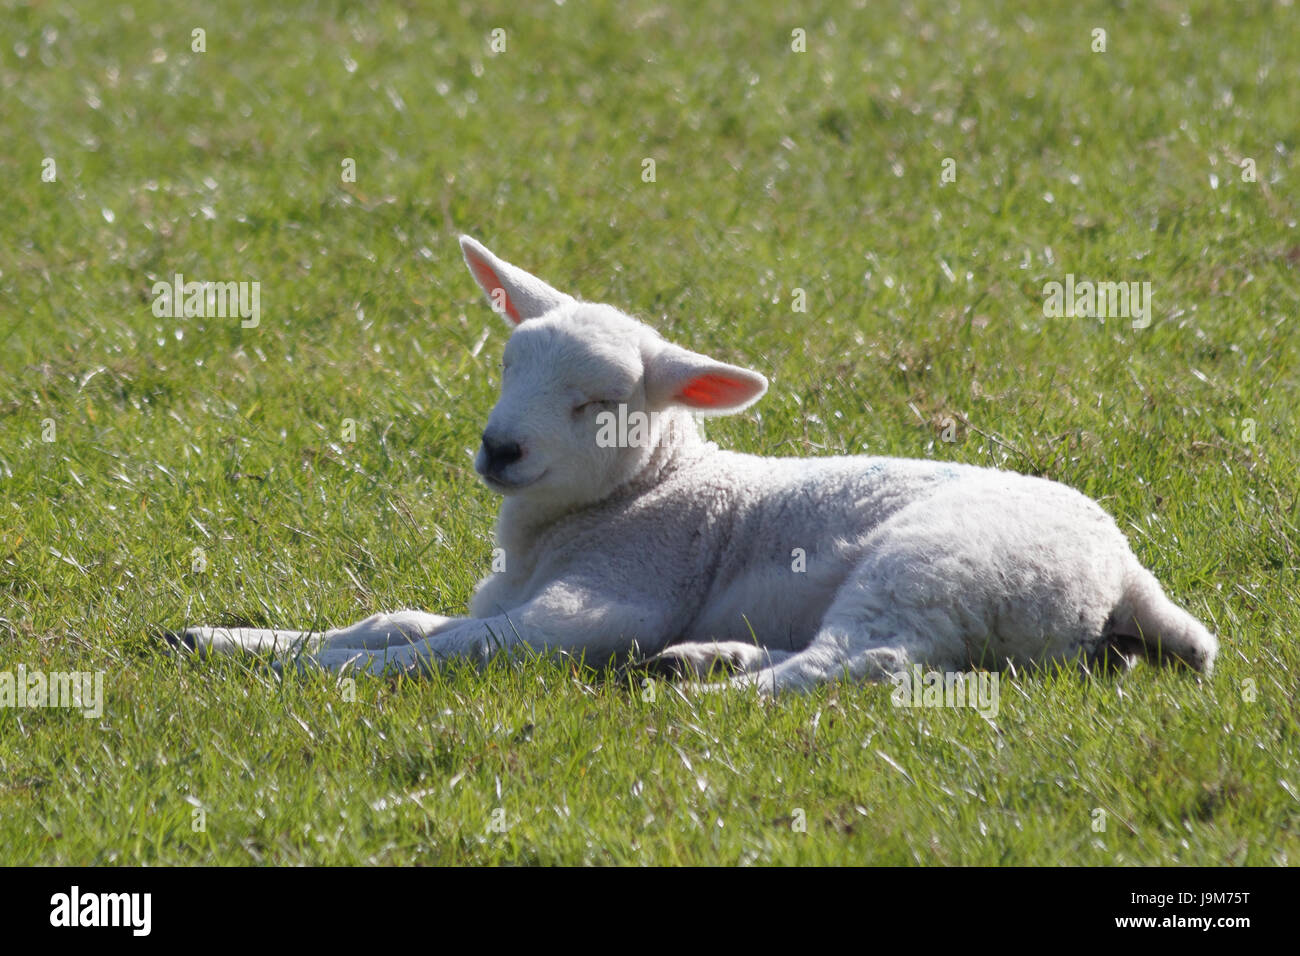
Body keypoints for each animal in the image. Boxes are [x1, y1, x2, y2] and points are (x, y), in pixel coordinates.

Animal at [169, 236, 1218, 693]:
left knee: (857, 660)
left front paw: (319, 675)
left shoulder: (606, 600)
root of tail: (1124, 572)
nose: (500, 448)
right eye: (507, 364)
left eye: (598, 403)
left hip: (937, 568)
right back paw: (702, 659)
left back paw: (708, 696)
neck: (648, 491)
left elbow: (451, 648)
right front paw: (228, 638)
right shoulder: (514, 593)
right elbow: (400, 621)